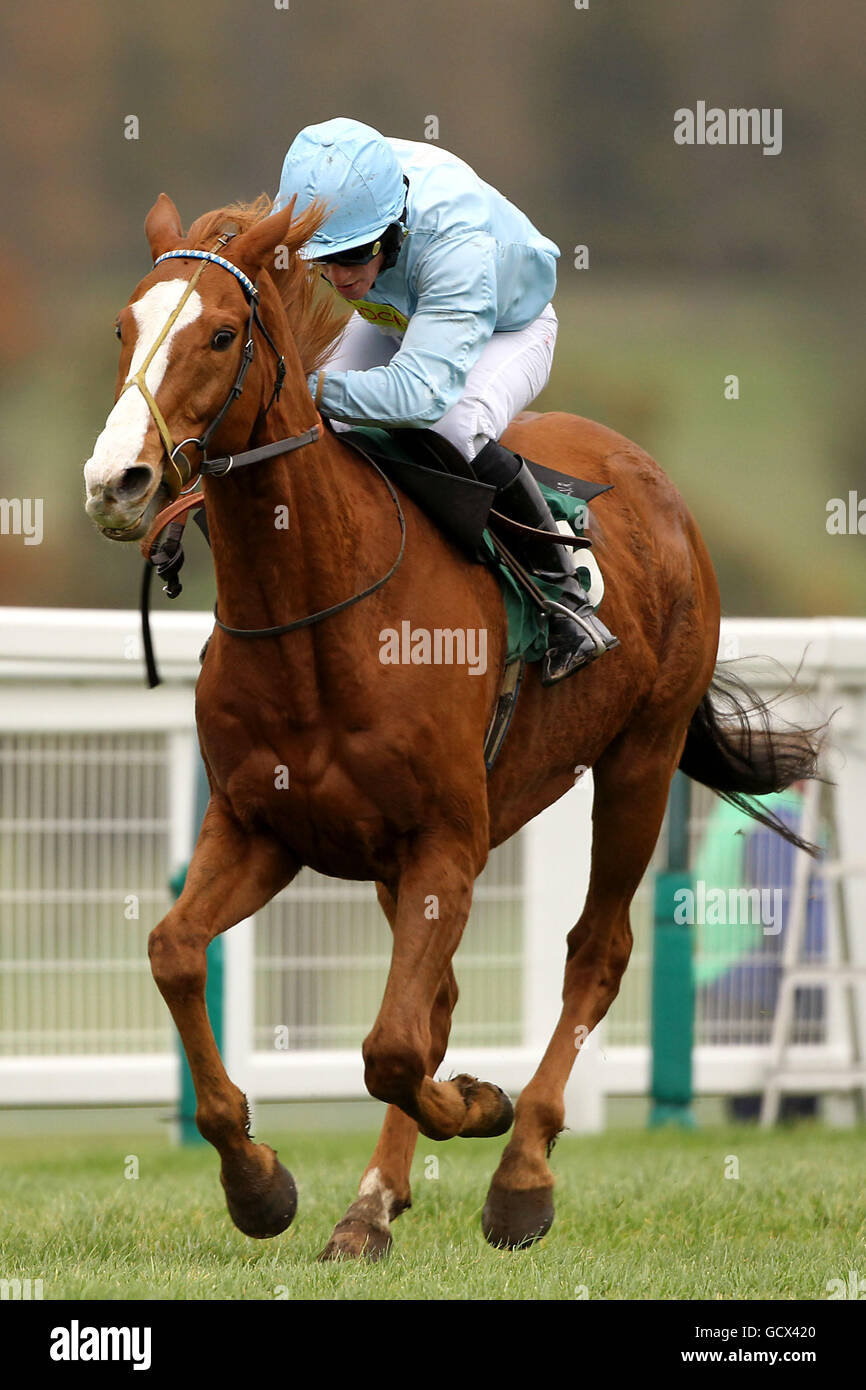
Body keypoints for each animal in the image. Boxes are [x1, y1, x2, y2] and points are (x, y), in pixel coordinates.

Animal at [83, 191, 820, 1258]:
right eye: (123, 328)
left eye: (220, 334)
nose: (118, 482)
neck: (321, 612)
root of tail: (652, 479)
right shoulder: (263, 827)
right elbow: (179, 953)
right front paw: (259, 1182)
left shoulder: (448, 839)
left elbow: (394, 1046)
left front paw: (479, 1105)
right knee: (439, 997)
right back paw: (375, 1201)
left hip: (639, 759)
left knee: (595, 953)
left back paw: (520, 1173)